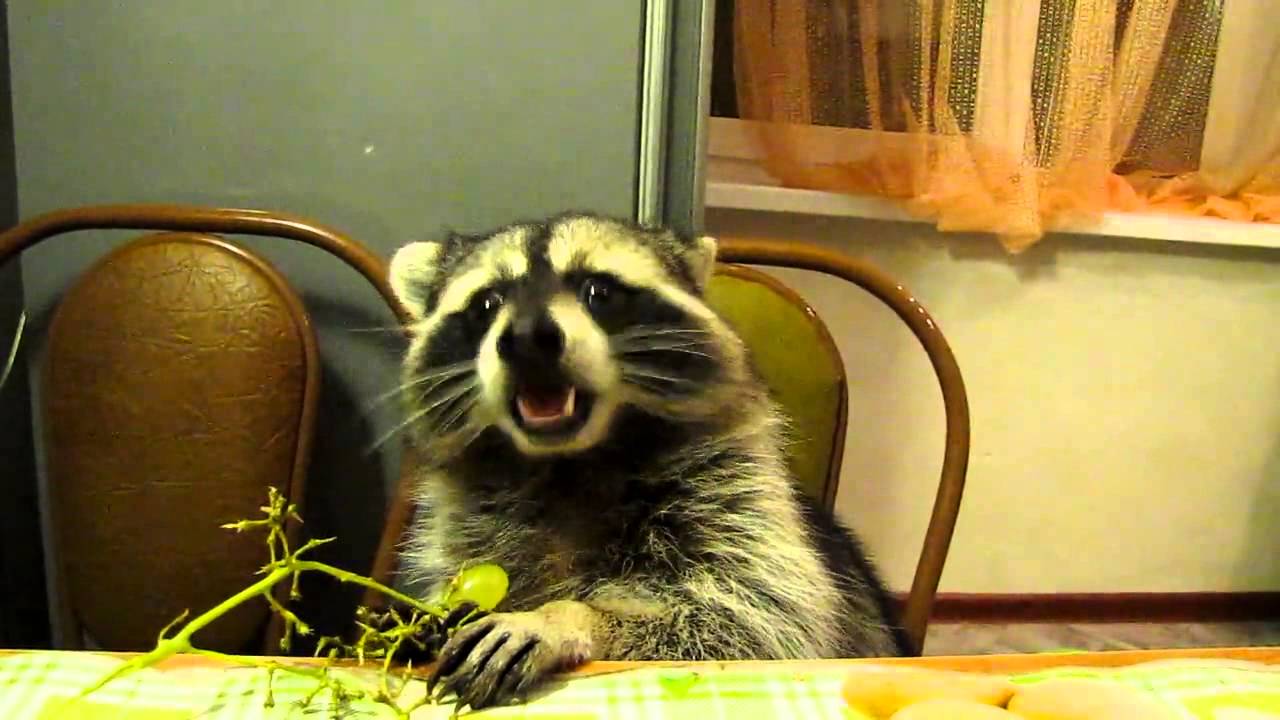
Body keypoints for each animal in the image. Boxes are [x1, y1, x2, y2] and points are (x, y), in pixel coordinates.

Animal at [388, 213, 909, 709]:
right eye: (487, 304)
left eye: (598, 291)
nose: (527, 338)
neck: (566, 461)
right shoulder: (475, 525)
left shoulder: (736, 501)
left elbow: (752, 626)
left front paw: (565, 618)